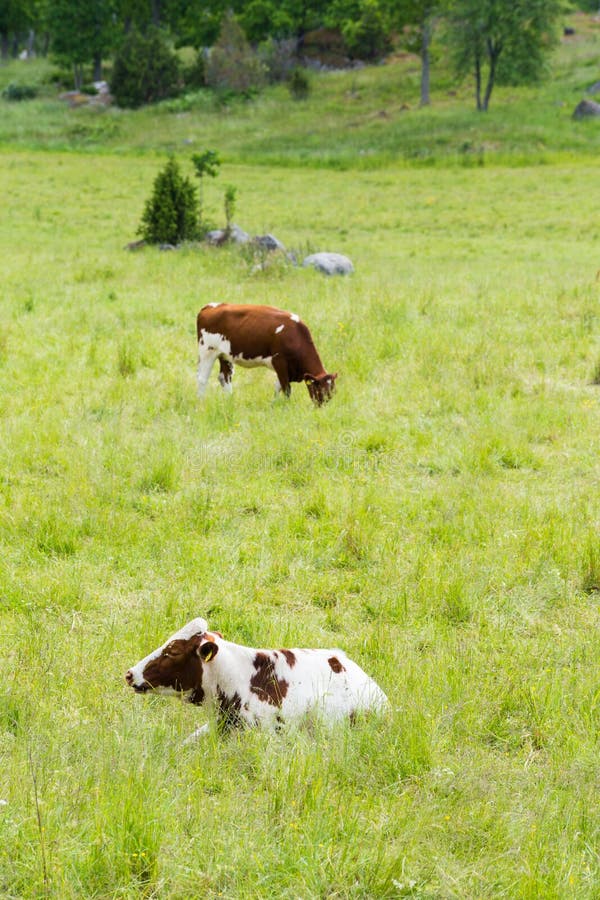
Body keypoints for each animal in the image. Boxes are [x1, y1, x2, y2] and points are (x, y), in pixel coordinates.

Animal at [196, 303, 337, 405]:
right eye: (321, 391)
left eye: (333, 392)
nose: (323, 409)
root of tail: (210, 306)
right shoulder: (279, 361)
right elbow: (286, 388)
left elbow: (278, 387)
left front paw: (274, 404)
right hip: (207, 350)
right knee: (202, 378)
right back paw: (201, 404)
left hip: (225, 355)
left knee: (225, 378)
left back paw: (230, 402)